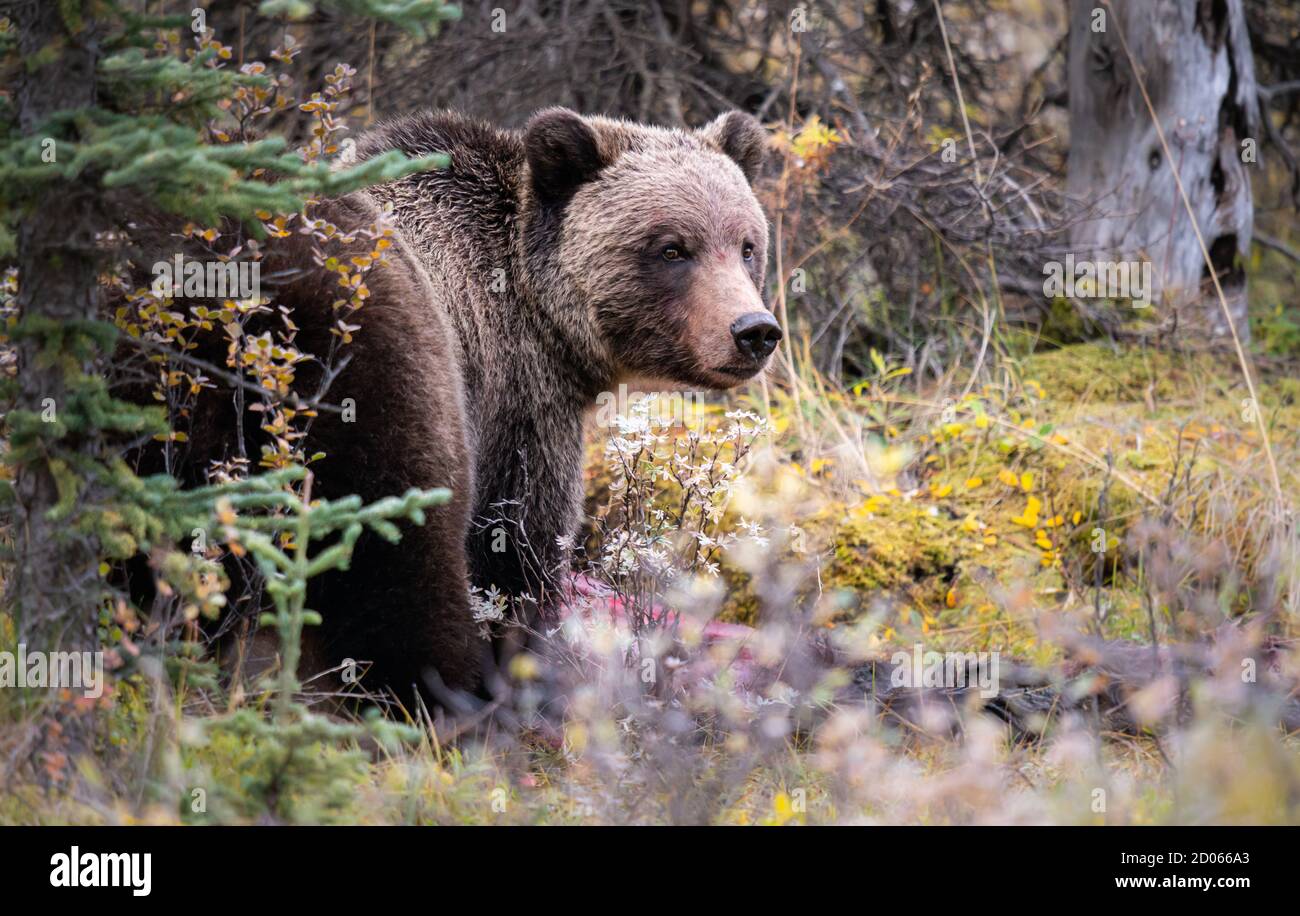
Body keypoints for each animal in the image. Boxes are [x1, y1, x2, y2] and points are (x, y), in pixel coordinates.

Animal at [134, 107, 779, 707]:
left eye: (747, 245)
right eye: (672, 247)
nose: (754, 331)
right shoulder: (515, 395)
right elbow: (514, 546)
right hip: (383, 363)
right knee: (400, 555)